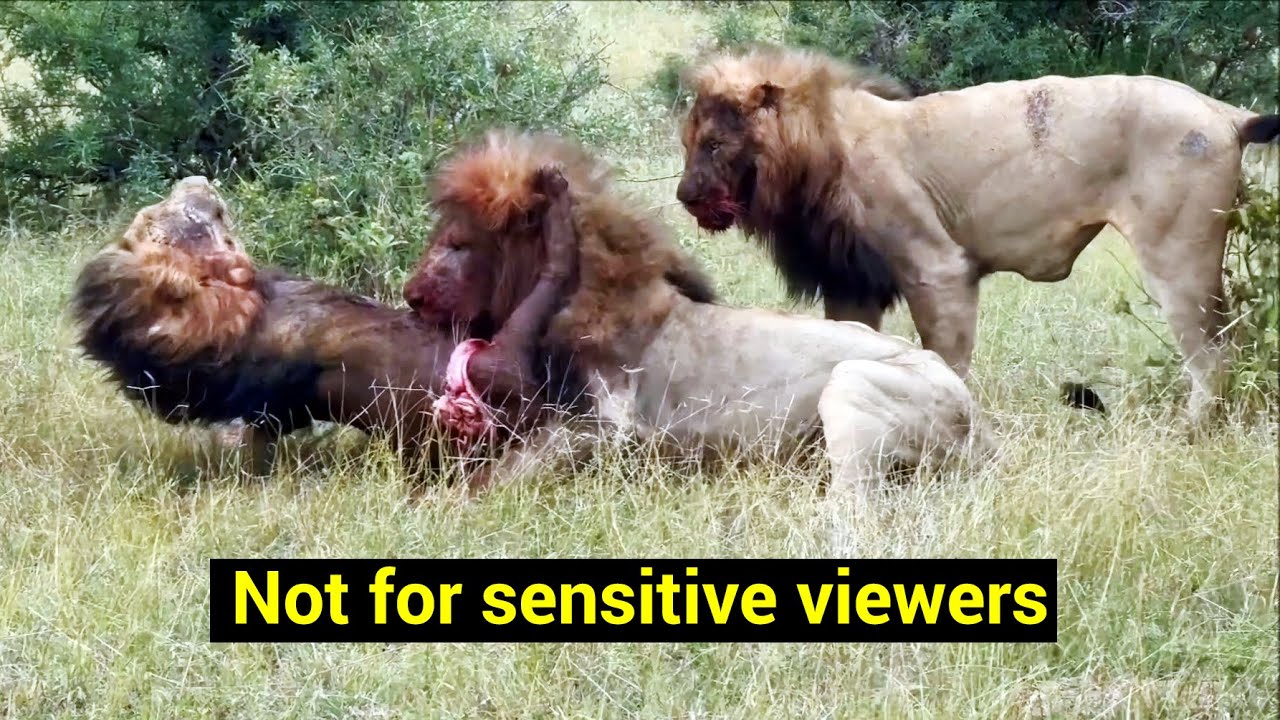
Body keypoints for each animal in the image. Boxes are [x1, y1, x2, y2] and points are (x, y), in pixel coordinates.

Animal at [70, 173, 583, 483]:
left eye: (163, 207)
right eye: (207, 218)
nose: (200, 182)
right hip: (500, 373)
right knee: (553, 276)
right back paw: (557, 205)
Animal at [404, 130, 988, 495]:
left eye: (456, 245)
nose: (410, 295)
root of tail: (978, 420)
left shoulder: (606, 429)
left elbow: (492, 480)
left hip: (851, 385)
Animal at [675, 44, 1280, 423]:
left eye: (714, 145)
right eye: (687, 143)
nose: (683, 196)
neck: (812, 157)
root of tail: (1226, 112)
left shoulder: (938, 268)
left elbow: (946, 360)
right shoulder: (851, 281)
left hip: (1178, 259)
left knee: (1214, 357)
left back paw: (1190, 433)